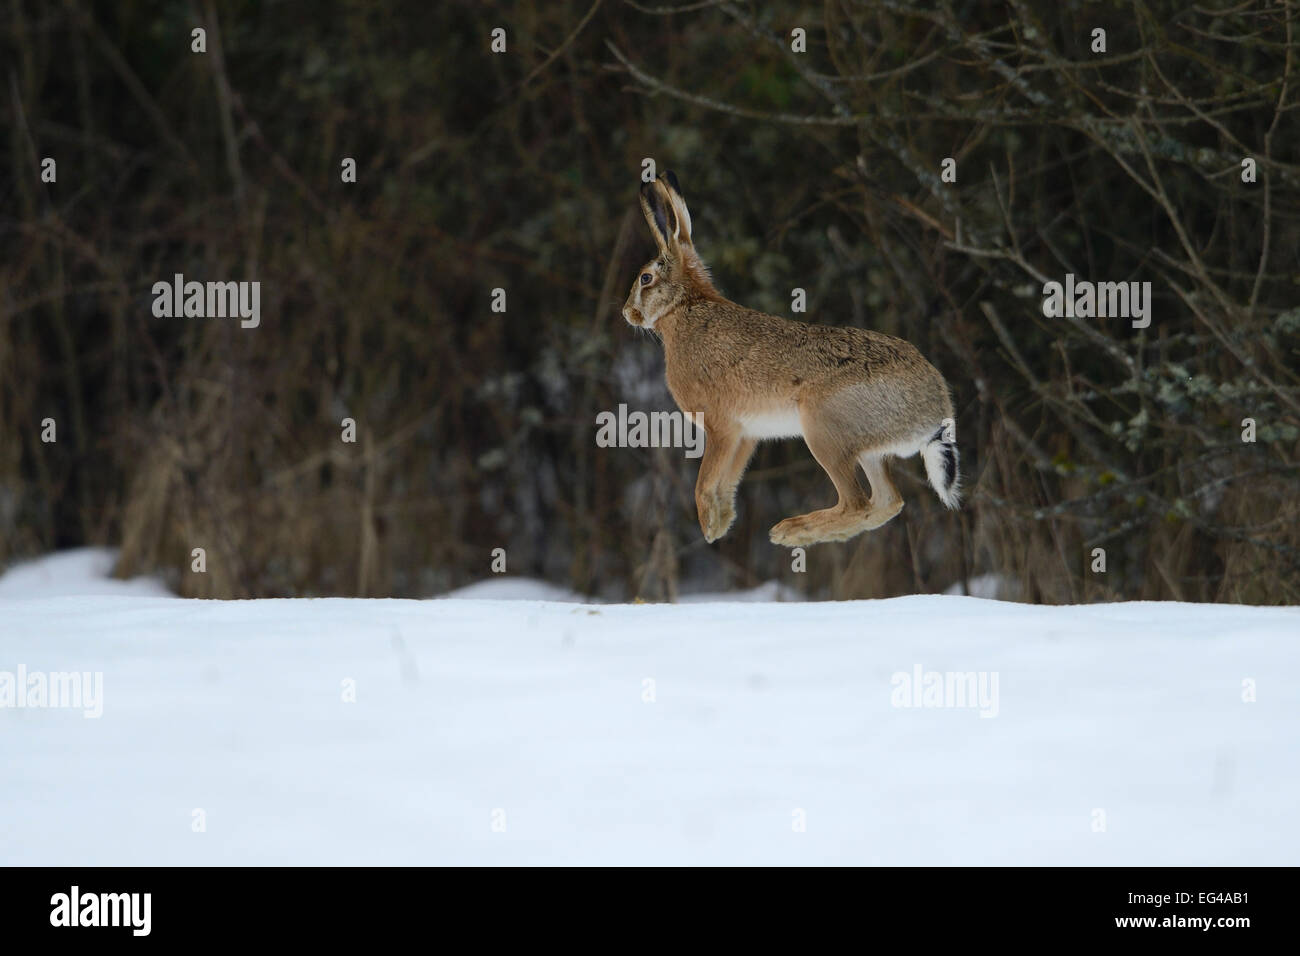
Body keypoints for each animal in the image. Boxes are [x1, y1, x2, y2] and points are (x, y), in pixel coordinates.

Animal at [622, 171, 960, 547]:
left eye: (646, 278)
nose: (627, 313)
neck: (684, 307)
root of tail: (935, 412)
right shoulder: (745, 434)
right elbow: (728, 480)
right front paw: (723, 523)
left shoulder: (722, 426)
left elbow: (706, 480)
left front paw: (709, 526)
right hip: (868, 450)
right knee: (886, 502)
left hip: (824, 431)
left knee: (857, 504)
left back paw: (789, 532)